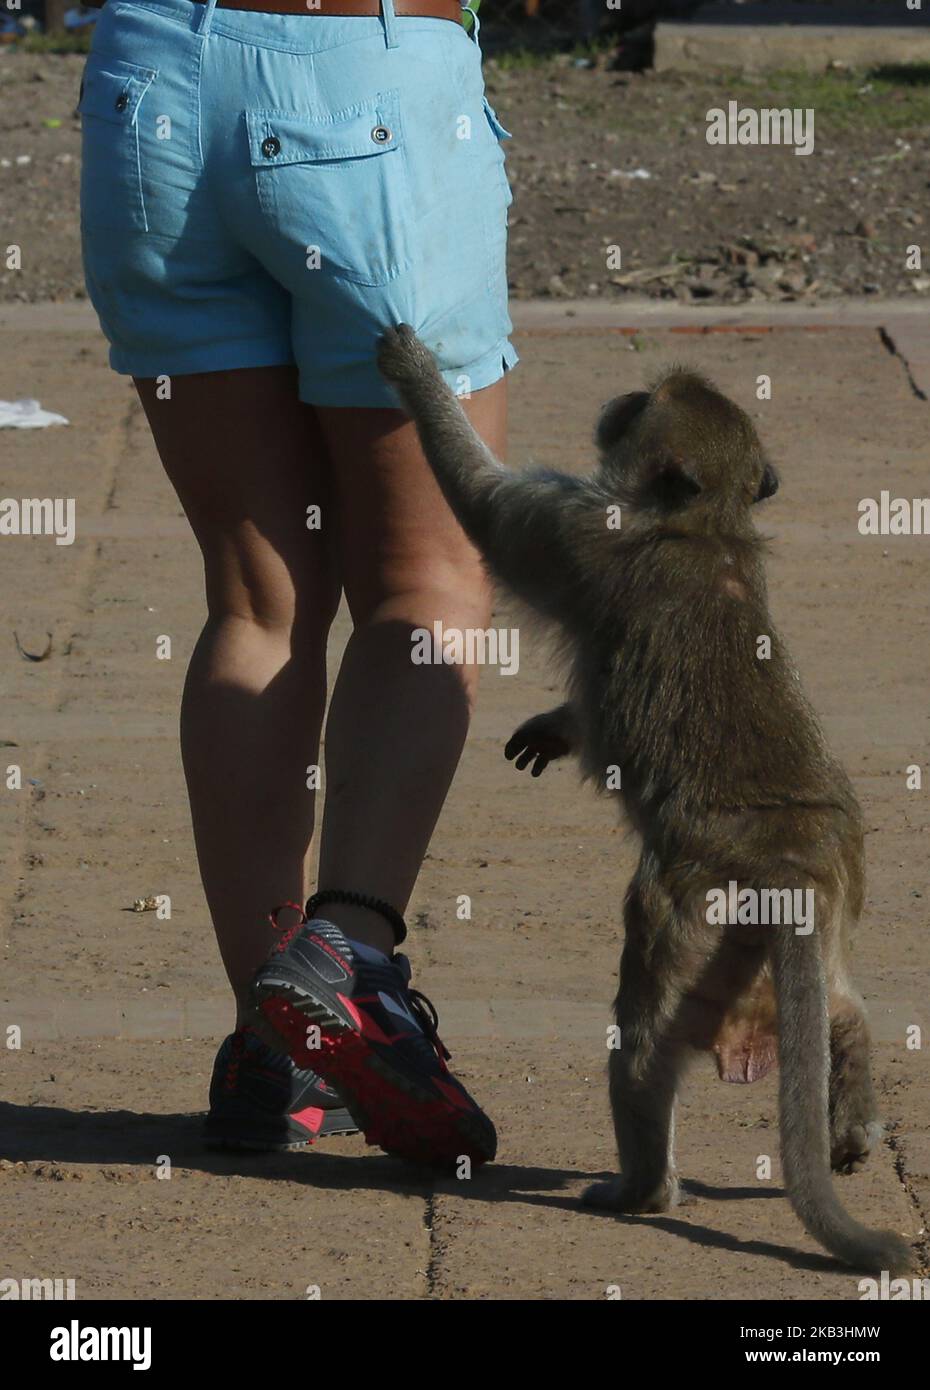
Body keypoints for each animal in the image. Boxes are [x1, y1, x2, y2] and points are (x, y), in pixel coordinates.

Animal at [376, 322, 913, 1275]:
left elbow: (485, 503)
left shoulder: (581, 530)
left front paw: (412, 369)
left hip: (684, 925)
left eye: (641, 403)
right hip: (838, 891)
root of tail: (783, 864)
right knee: (846, 1006)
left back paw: (640, 1190)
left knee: (642, 1045)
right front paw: (555, 729)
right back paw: (851, 1089)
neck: (707, 525)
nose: (617, 400)